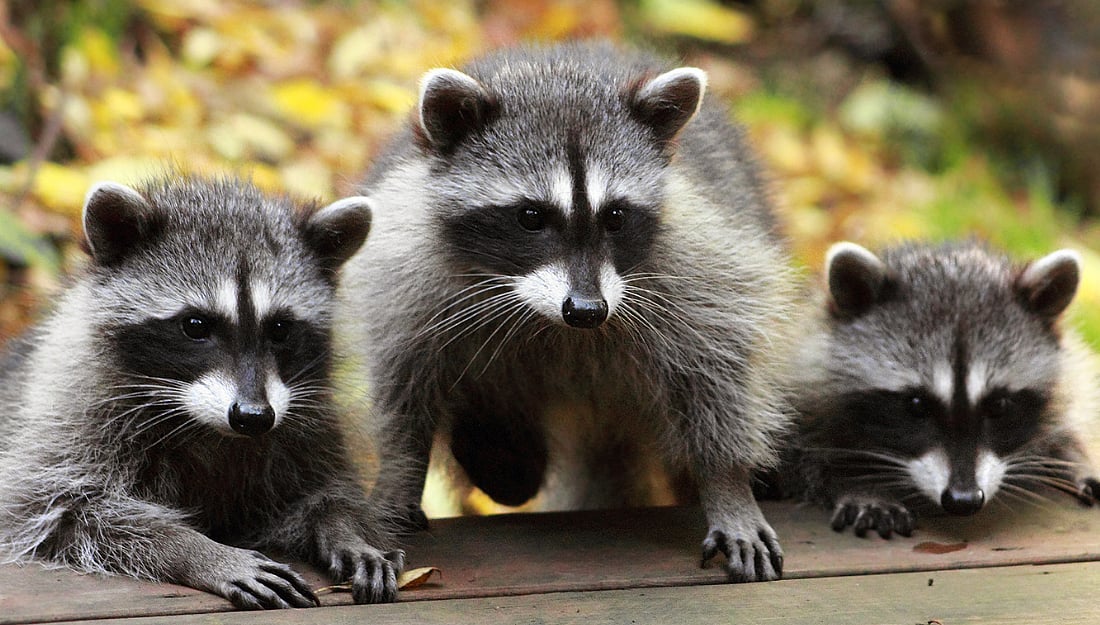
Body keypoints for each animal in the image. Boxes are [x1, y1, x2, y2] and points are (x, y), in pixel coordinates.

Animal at [0, 175, 406, 607]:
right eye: (195, 325)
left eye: (280, 329)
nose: (253, 417)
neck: (205, 425)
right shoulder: (74, 419)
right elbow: (62, 510)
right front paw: (198, 551)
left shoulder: (307, 429)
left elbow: (323, 494)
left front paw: (346, 530)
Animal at [341, 42, 799, 582]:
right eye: (530, 216)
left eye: (616, 216)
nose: (586, 310)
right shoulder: (404, 270)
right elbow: (403, 385)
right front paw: (400, 473)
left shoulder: (698, 266)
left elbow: (718, 368)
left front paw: (727, 483)